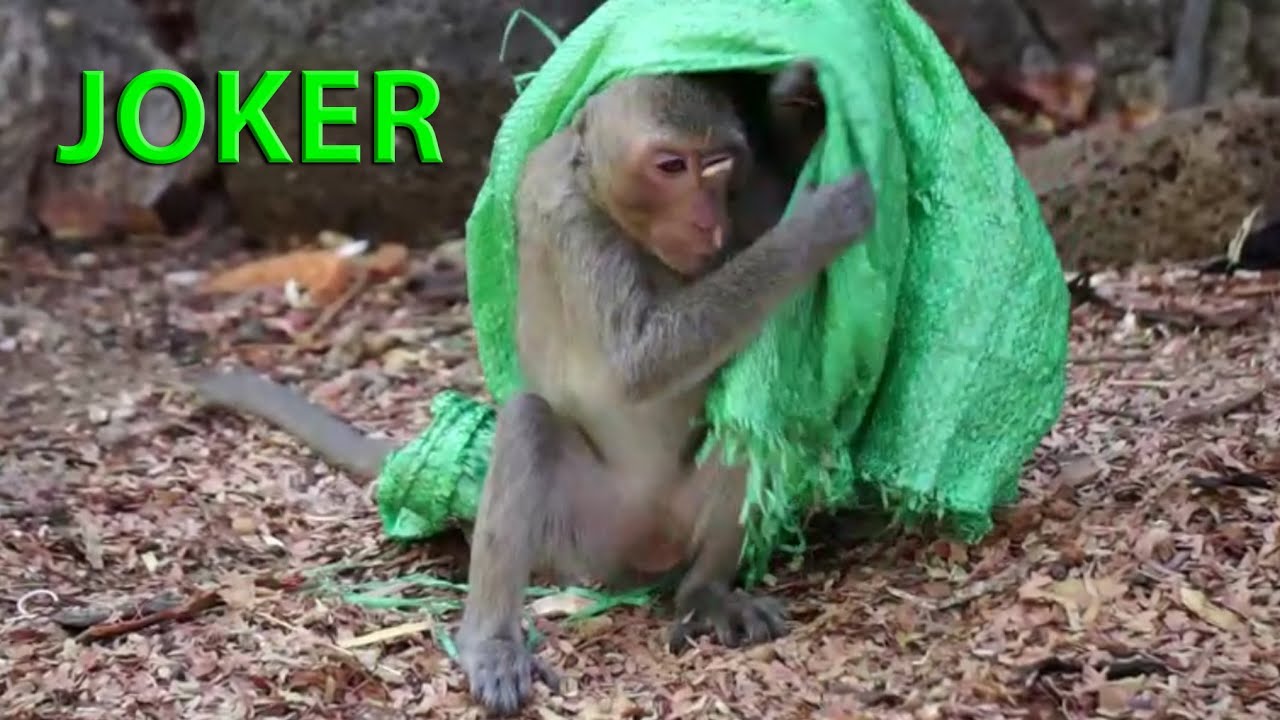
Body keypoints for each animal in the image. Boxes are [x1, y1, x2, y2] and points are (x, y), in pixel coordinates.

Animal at [452, 69, 873, 716]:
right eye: (671, 166)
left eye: (718, 163)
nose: (706, 220)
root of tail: (650, 550)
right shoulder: (565, 212)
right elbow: (640, 364)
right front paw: (818, 224)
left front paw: (799, 102)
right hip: (589, 534)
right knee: (529, 420)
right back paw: (492, 643)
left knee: (751, 428)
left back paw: (706, 592)